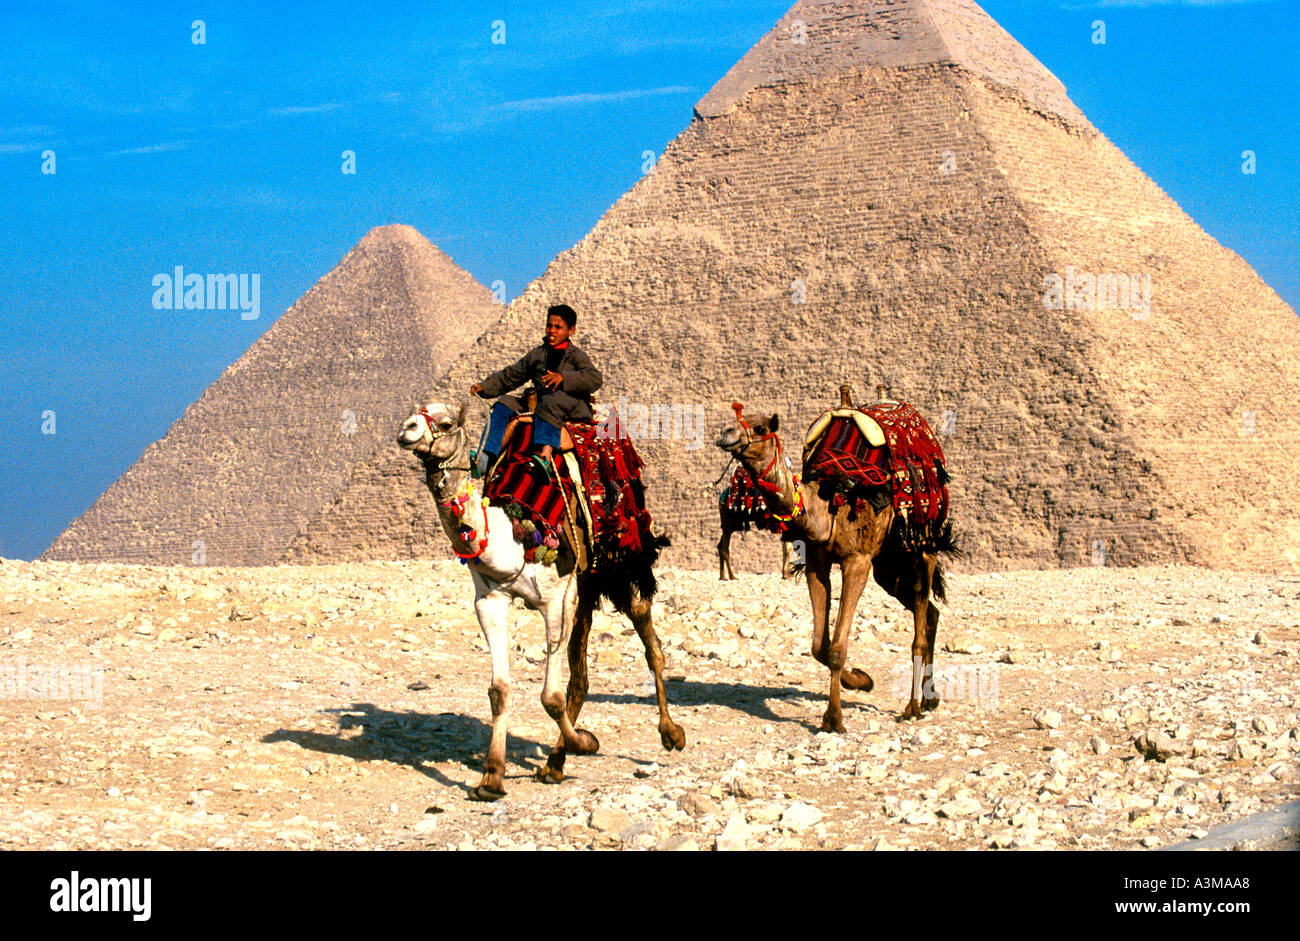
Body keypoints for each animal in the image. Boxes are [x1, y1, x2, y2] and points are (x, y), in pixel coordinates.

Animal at [397, 400, 684, 800]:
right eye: (416, 412)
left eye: (446, 422)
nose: (406, 429)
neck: (512, 532)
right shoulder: (489, 600)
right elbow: (499, 690)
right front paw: (491, 778)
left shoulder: (554, 599)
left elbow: (550, 697)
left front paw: (584, 742)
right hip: (586, 583)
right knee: (580, 669)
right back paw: (554, 764)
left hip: (619, 561)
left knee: (647, 634)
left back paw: (670, 733)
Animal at [715, 387, 959, 729]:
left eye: (760, 427)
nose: (725, 433)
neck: (827, 503)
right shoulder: (817, 563)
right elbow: (819, 646)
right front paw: (861, 680)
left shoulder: (857, 561)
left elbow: (837, 648)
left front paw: (833, 718)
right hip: (888, 563)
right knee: (932, 615)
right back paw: (930, 698)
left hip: (923, 543)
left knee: (921, 629)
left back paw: (912, 706)